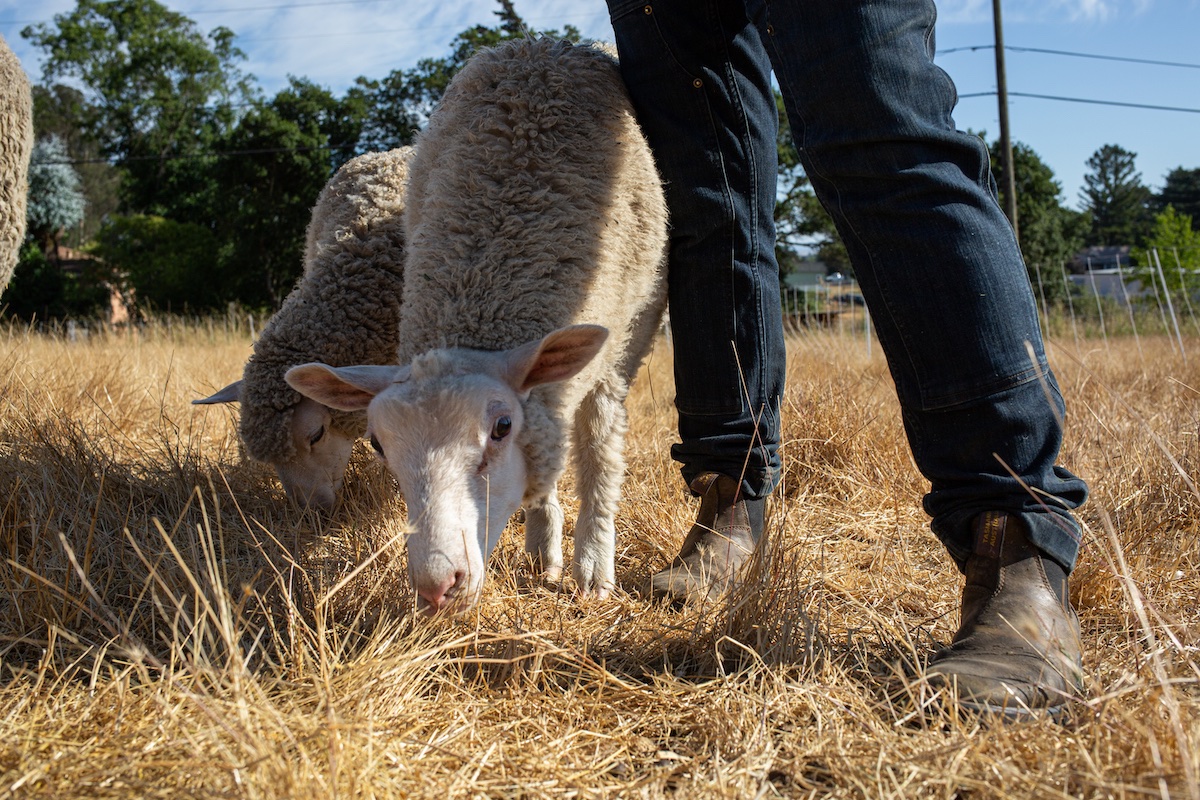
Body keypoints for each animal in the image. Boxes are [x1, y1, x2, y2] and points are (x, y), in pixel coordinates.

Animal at [285, 37, 668, 615]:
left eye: (502, 427)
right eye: (377, 445)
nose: (436, 585)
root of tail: (541, 42)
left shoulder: (620, 344)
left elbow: (600, 448)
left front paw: (593, 567)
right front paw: (544, 548)